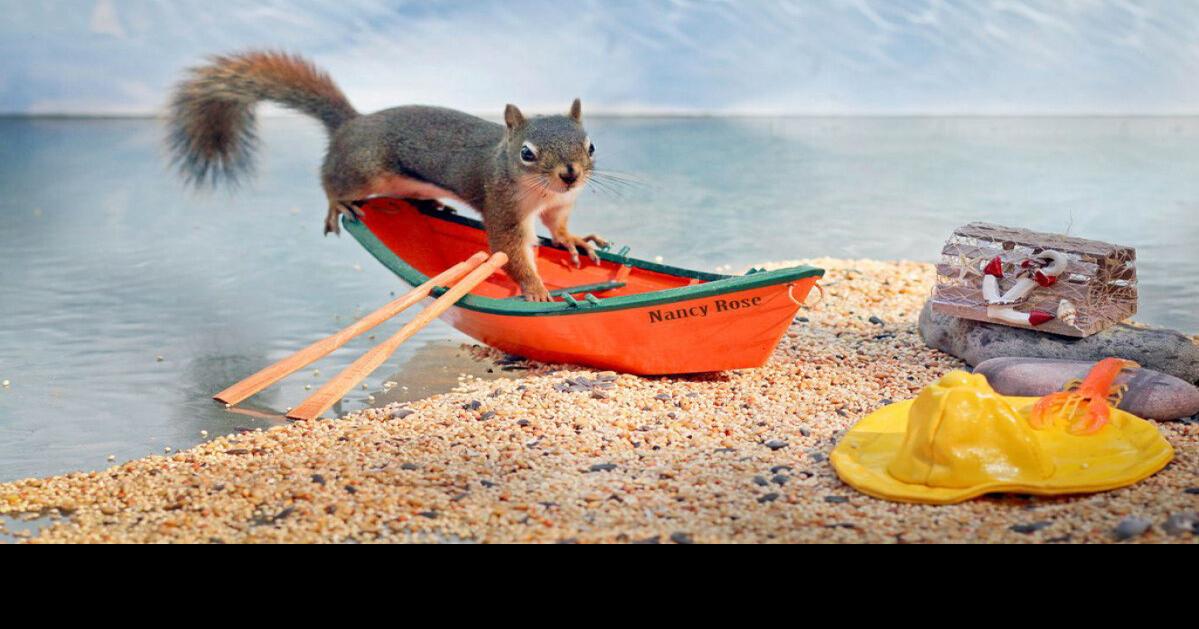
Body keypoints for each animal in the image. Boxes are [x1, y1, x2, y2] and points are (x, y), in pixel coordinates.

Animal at [167, 50, 607, 301]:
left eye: (590, 146)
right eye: (527, 154)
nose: (570, 175)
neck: (542, 193)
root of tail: (351, 125)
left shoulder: (559, 204)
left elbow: (558, 226)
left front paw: (574, 241)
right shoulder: (501, 204)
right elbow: (510, 250)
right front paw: (535, 289)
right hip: (362, 171)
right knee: (330, 179)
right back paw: (338, 203)